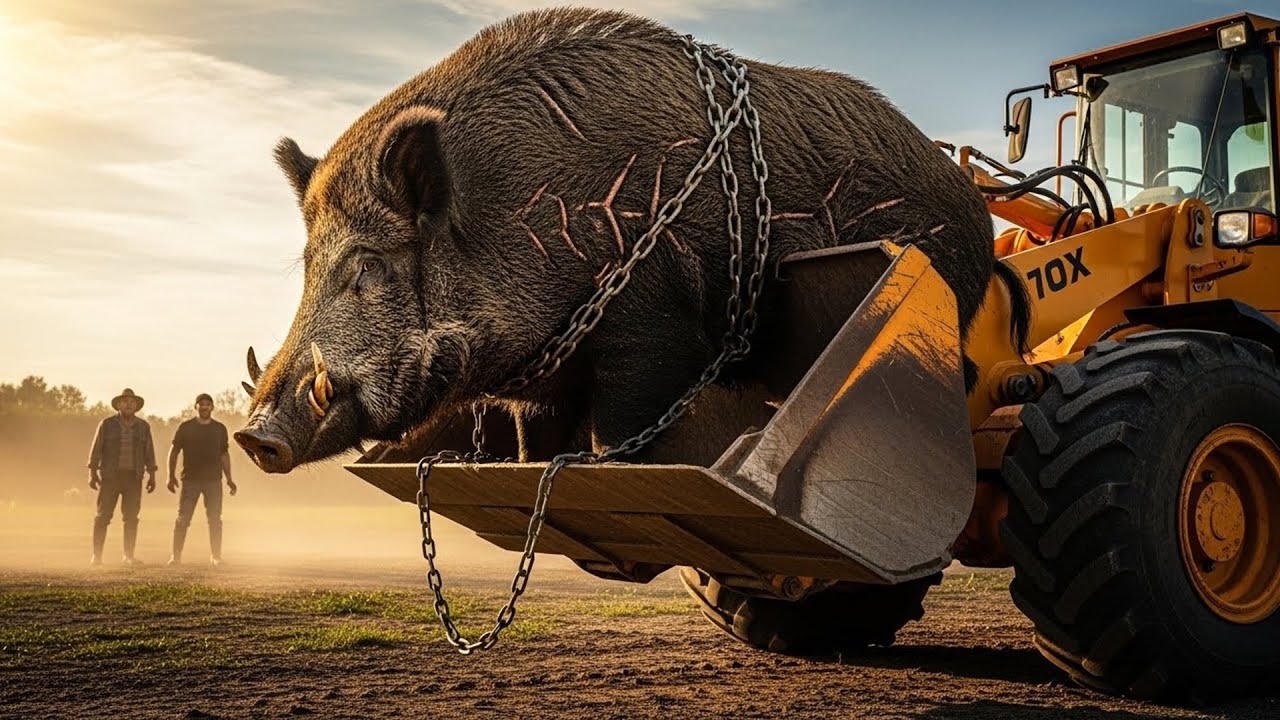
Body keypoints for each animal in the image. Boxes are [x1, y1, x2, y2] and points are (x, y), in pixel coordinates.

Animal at [236, 7, 1030, 473]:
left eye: (368, 266)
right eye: (307, 268)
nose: (255, 436)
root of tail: (975, 209)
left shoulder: (654, 323)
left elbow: (613, 436)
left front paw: (604, 471)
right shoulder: (538, 381)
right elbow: (529, 442)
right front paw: (517, 470)